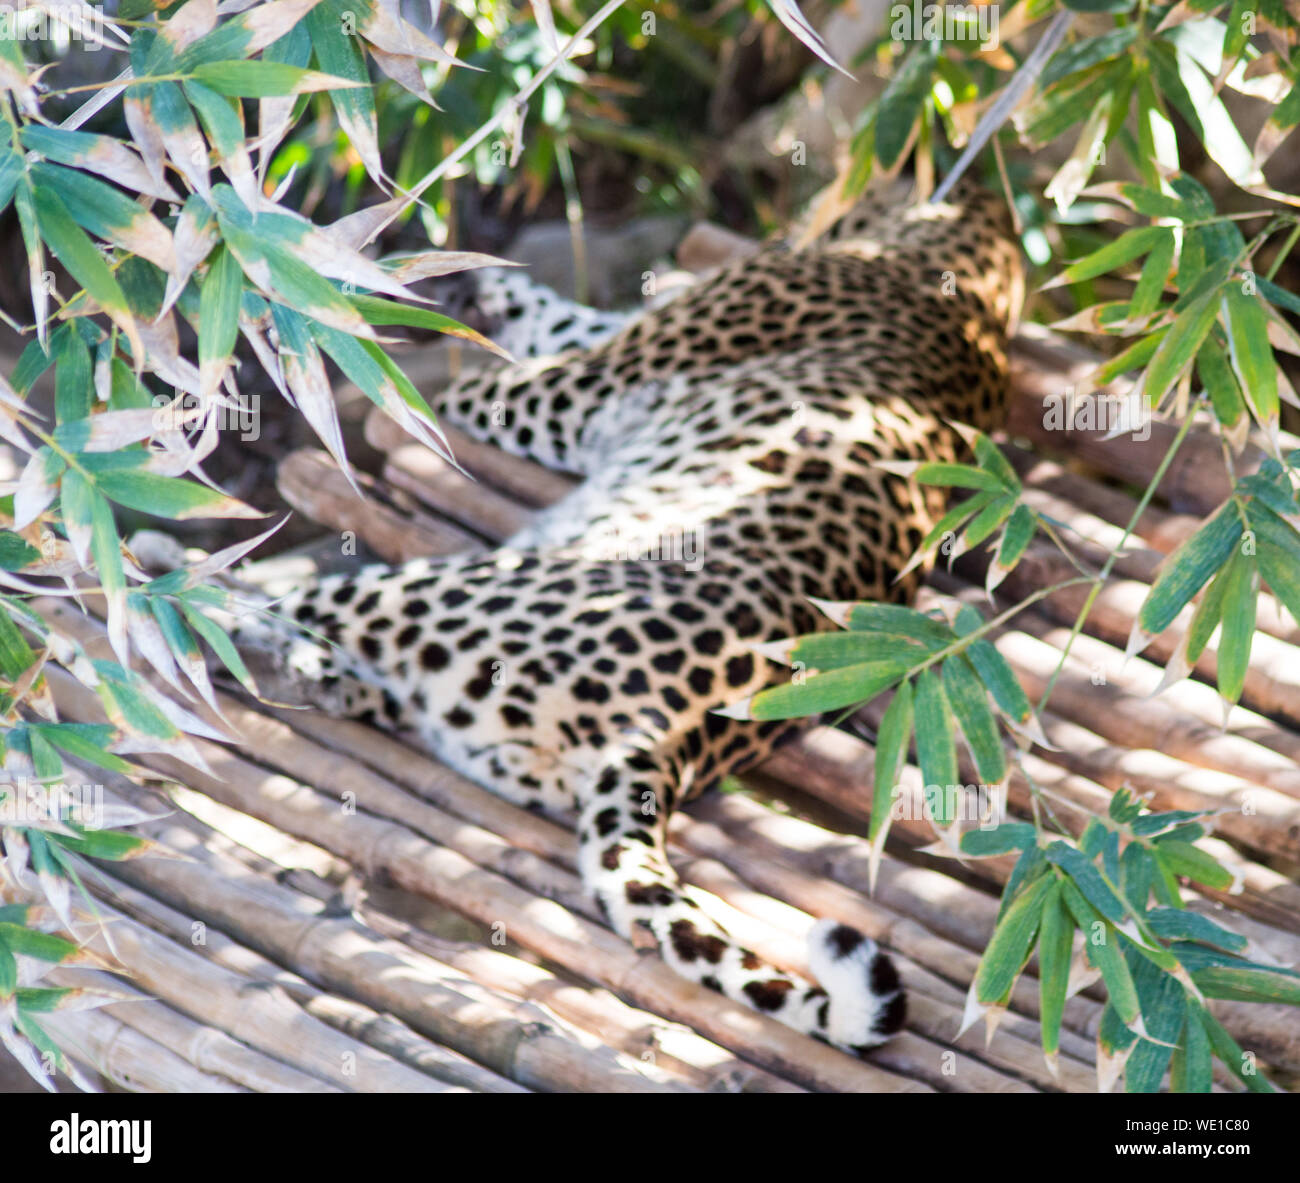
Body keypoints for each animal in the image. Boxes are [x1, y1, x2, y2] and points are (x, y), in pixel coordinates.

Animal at [235, 176, 1024, 1057]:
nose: (807, 209)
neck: (977, 284)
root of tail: (666, 741)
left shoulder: (544, 396)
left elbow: (494, 375)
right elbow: (569, 313)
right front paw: (480, 287)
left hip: (453, 583)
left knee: (249, 607)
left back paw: (187, 595)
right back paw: (313, 671)